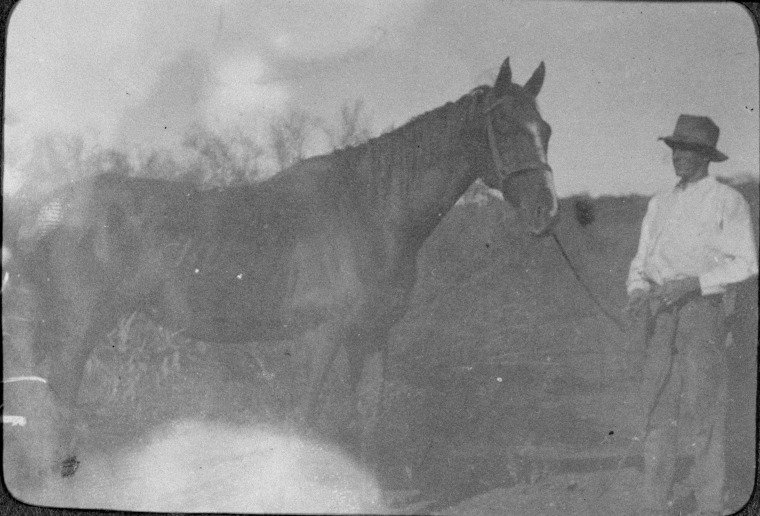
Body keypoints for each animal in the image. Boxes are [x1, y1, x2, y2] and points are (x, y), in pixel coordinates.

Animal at [3, 57, 559, 482]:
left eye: (547, 130)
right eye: (503, 126)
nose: (546, 211)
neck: (370, 209)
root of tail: (43, 210)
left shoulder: (372, 336)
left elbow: (367, 421)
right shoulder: (323, 336)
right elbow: (306, 421)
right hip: (79, 327)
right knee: (56, 402)